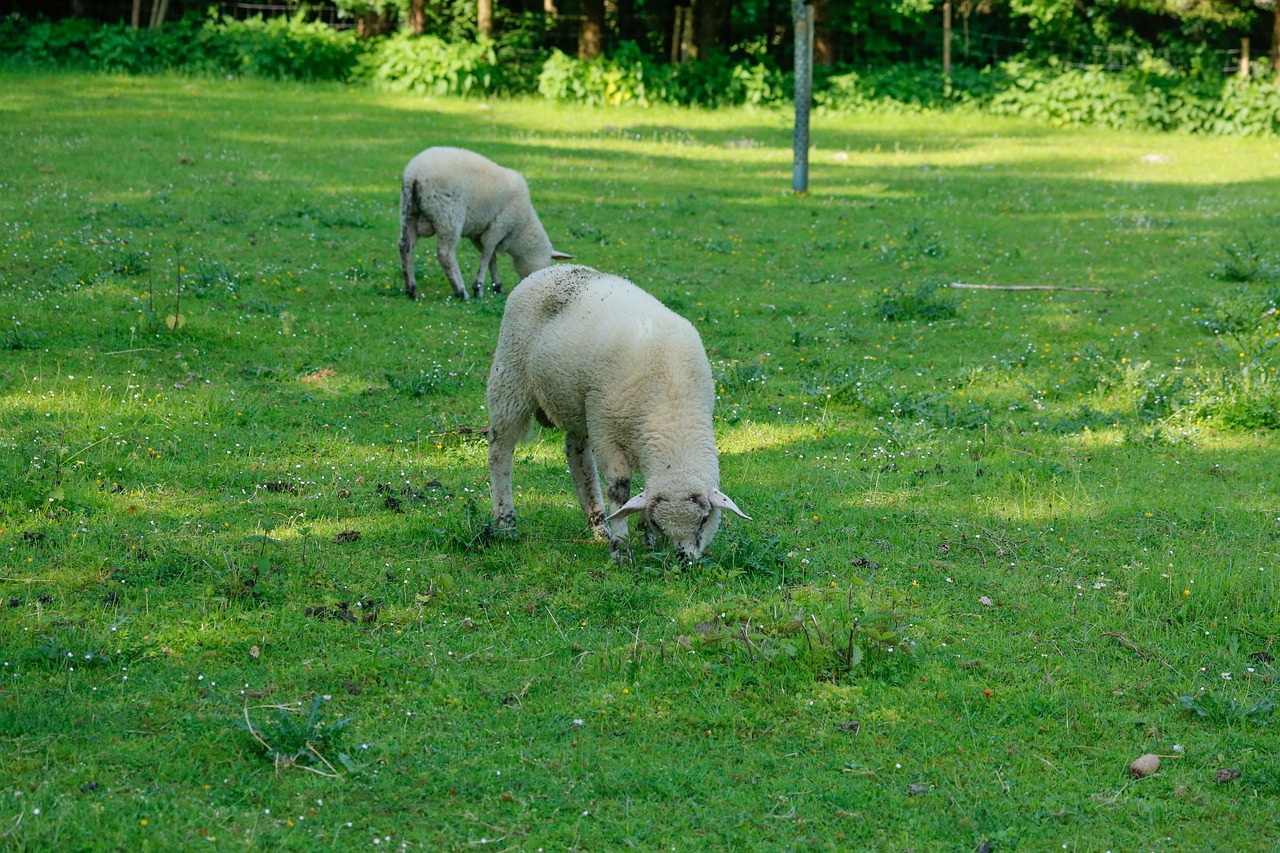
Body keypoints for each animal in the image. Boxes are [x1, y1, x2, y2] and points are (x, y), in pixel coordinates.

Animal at [398, 146, 571, 300]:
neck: (522, 229)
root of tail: (413, 174)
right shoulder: (498, 226)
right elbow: (488, 253)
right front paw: (479, 287)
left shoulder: (478, 231)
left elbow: (491, 257)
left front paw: (496, 285)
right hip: (448, 216)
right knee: (445, 254)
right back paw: (461, 291)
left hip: (410, 212)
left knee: (405, 246)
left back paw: (411, 289)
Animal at [486, 264, 749, 561]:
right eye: (660, 522)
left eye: (705, 519)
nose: (683, 561)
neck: (671, 409)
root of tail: (549, 269)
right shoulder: (607, 435)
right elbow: (620, 490)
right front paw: (621, 548)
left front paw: (645, 536)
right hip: (510, 379)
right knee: (500, 452)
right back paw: (506, 523)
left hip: (579, 407)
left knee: (577, 457)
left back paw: (599, 526)